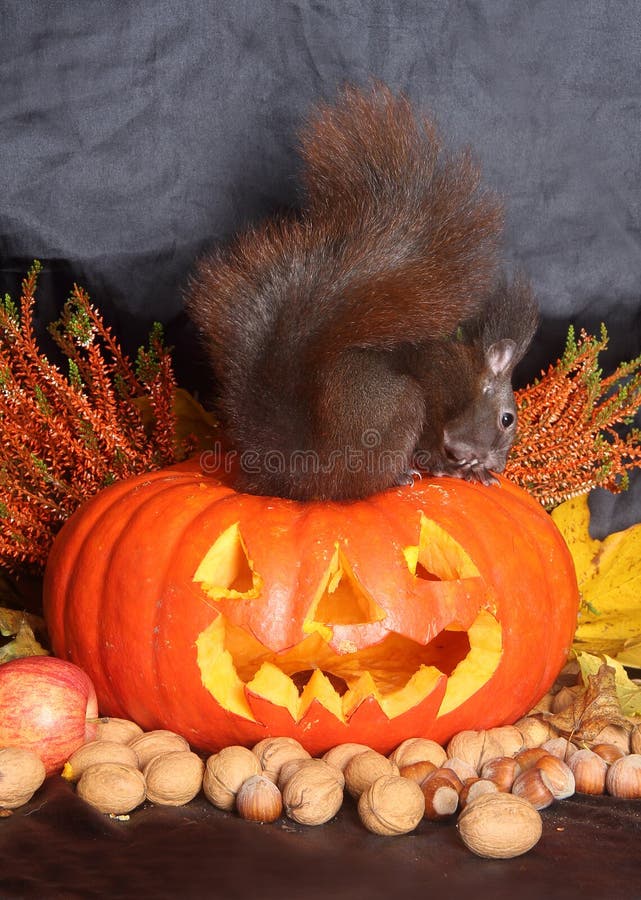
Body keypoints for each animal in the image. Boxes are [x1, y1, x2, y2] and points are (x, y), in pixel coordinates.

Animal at [185, 84, 539, 501]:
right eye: (507, 419)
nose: (499, 466)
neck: (467, 378)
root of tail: (305, 470)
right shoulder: (436, 393)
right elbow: (434, 446)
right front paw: (463, 469)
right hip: (401, 407)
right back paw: (399, 476)